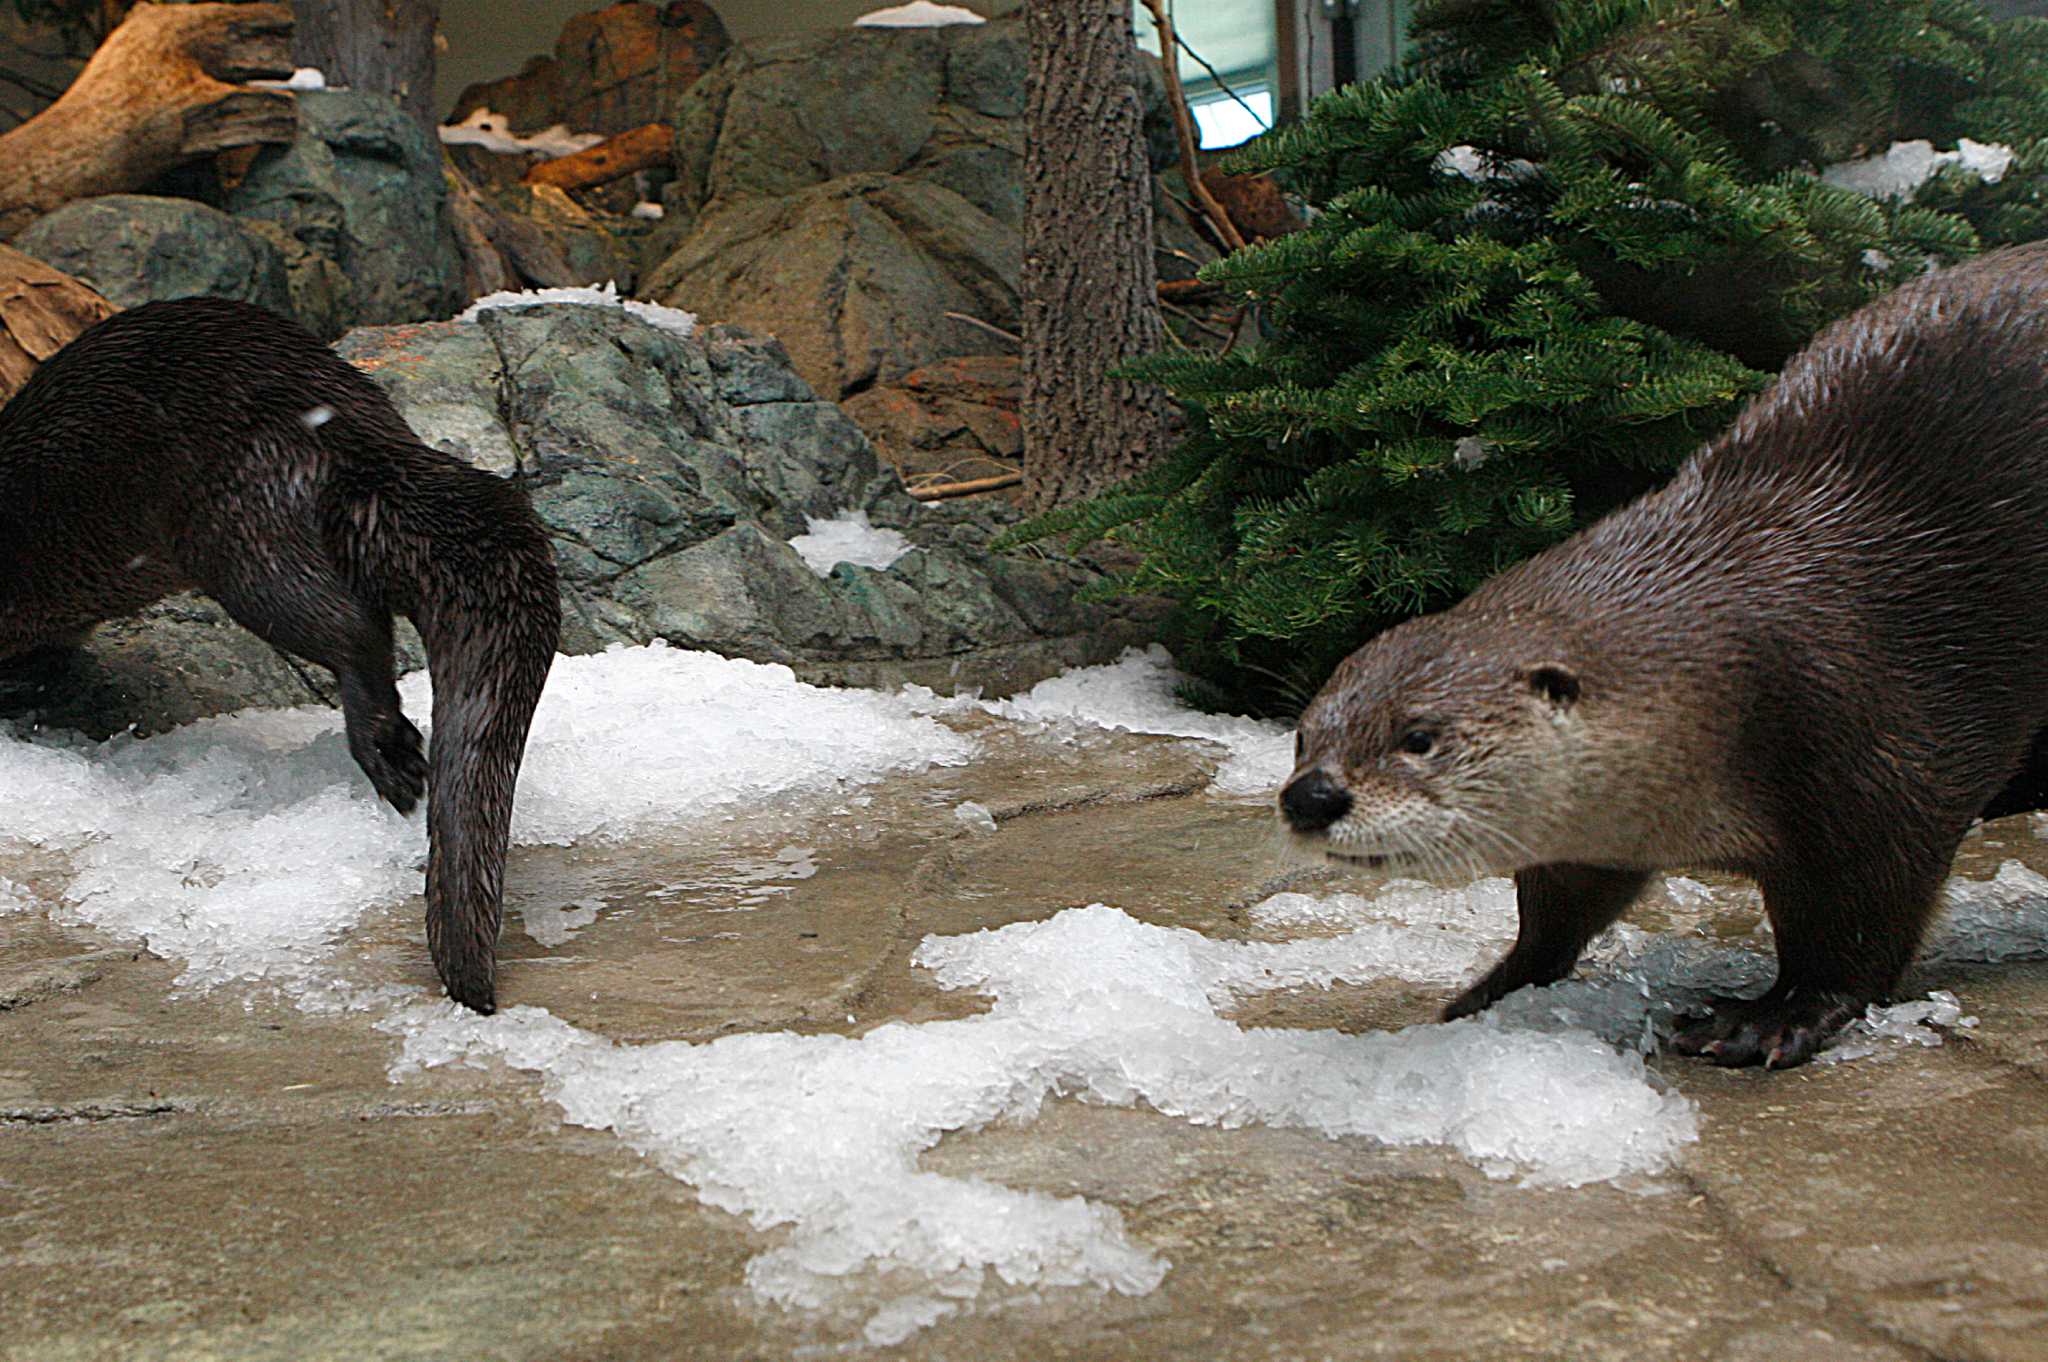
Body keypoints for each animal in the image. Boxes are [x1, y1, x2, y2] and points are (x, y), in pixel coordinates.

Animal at [1280, 244, 2048, 1069]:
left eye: (1419, 738)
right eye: (1303, 736)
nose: (1310, 796)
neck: (1745, 667)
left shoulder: (1872, 738)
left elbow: (1862, 920)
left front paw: (1771, 1017)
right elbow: (1562, 899)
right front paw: (1497, 983)